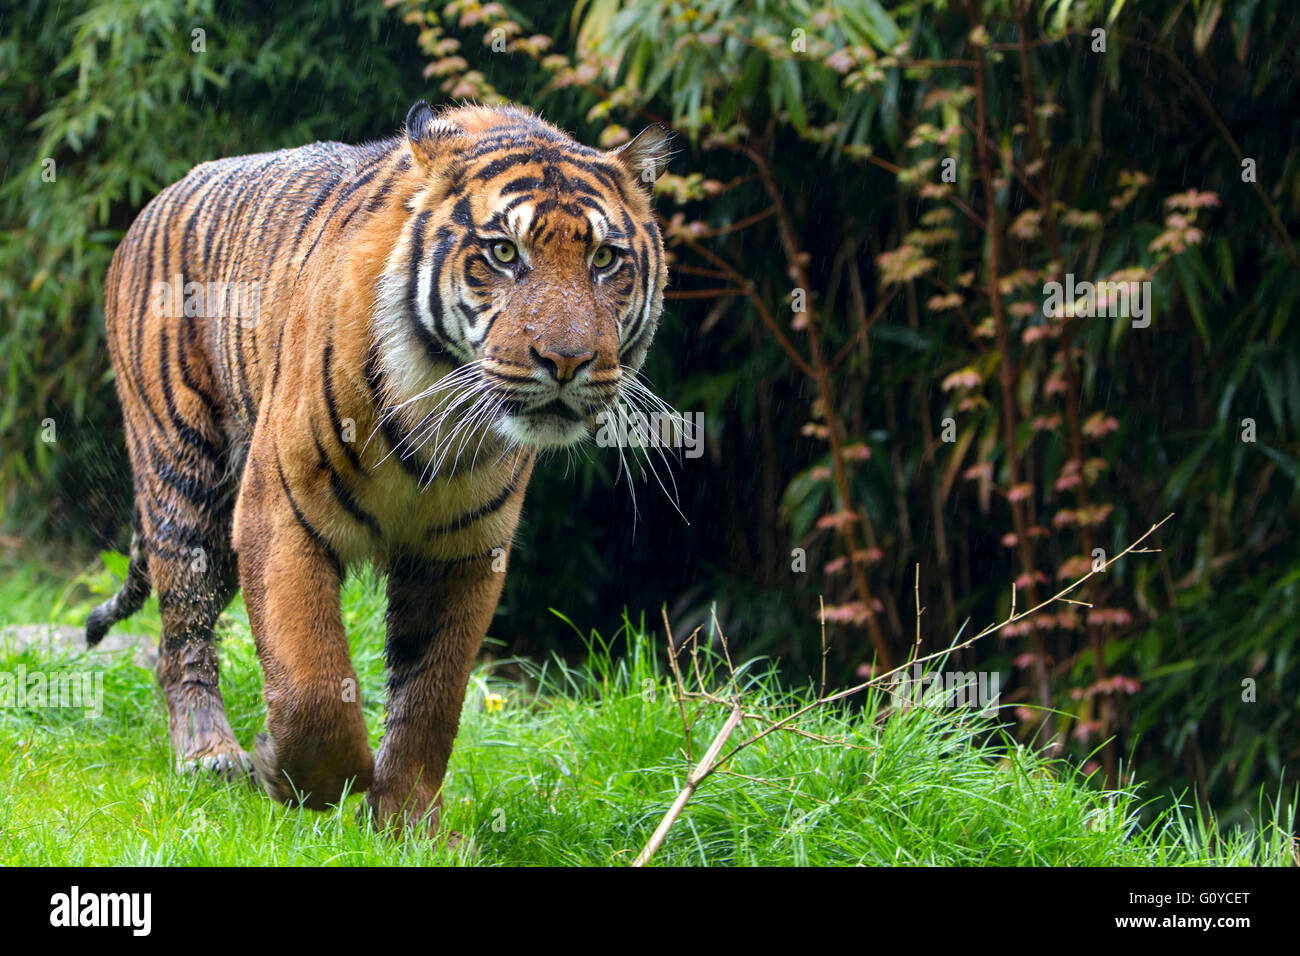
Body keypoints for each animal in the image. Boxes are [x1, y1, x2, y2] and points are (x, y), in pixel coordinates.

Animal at [85, 100, 672, 835]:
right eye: (504, 253)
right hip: (187, 480)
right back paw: (210, 755)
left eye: (604, 258)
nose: (567, 360)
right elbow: (310, 682)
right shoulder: (280, 514)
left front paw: (407, 825)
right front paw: (299, 778)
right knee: (181, 632)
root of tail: (155, 201)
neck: (439, 409)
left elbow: (430, 701)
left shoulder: (464, 553)